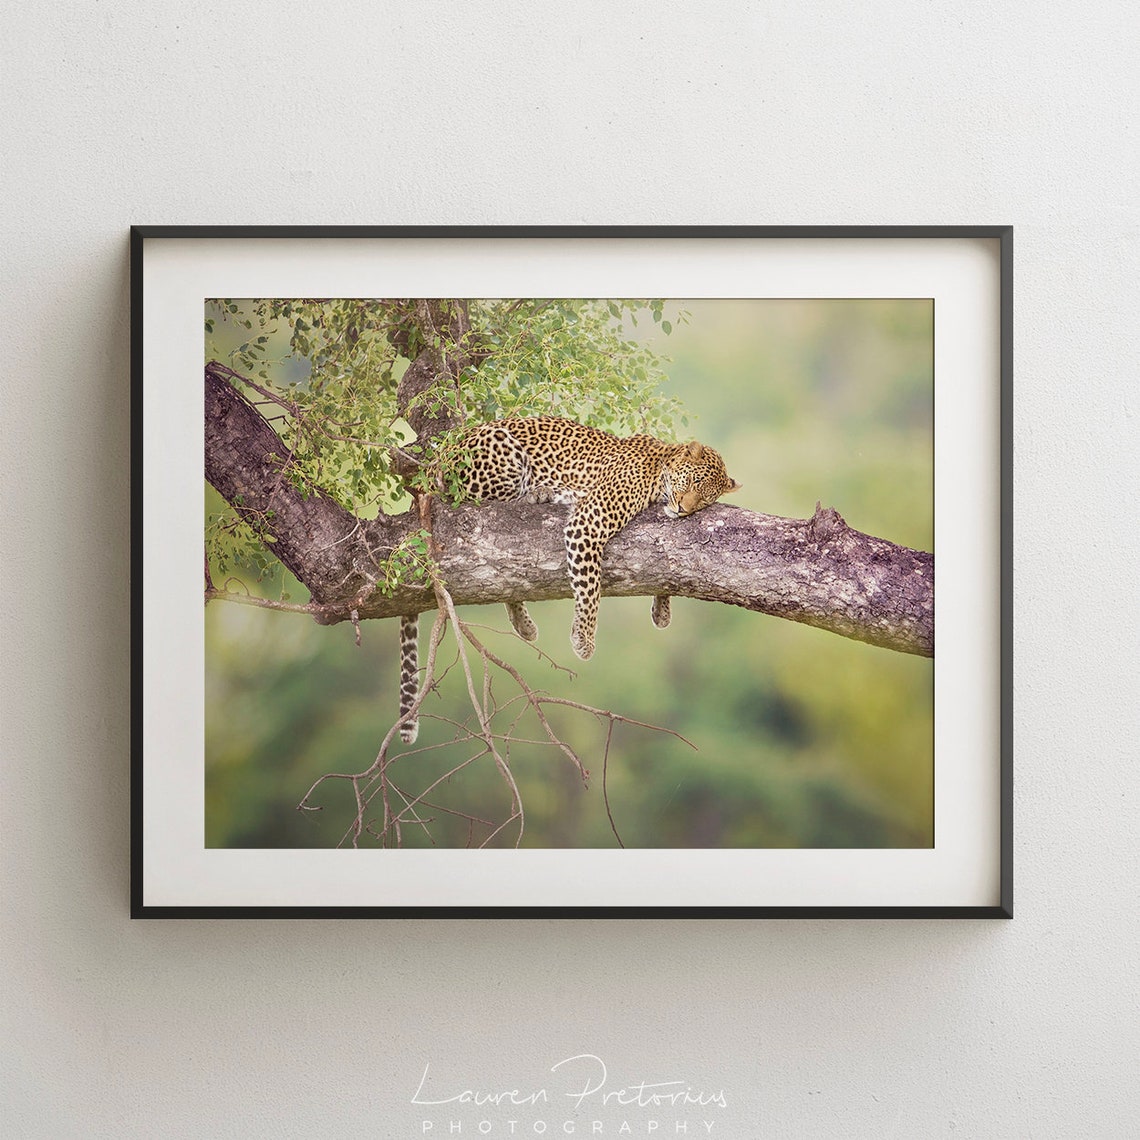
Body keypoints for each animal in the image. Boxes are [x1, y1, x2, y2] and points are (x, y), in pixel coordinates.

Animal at [397, 415, 740, 743]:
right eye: (694, 480)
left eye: (705, 500)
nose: (683, 509)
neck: (660, 467)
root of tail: (443, 454)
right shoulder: (588, 522)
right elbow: (590, 587)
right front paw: (584, 639)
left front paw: (662, 610)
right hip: (498, 456)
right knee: (487, 504)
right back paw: (540, 493)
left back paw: (523, 622)